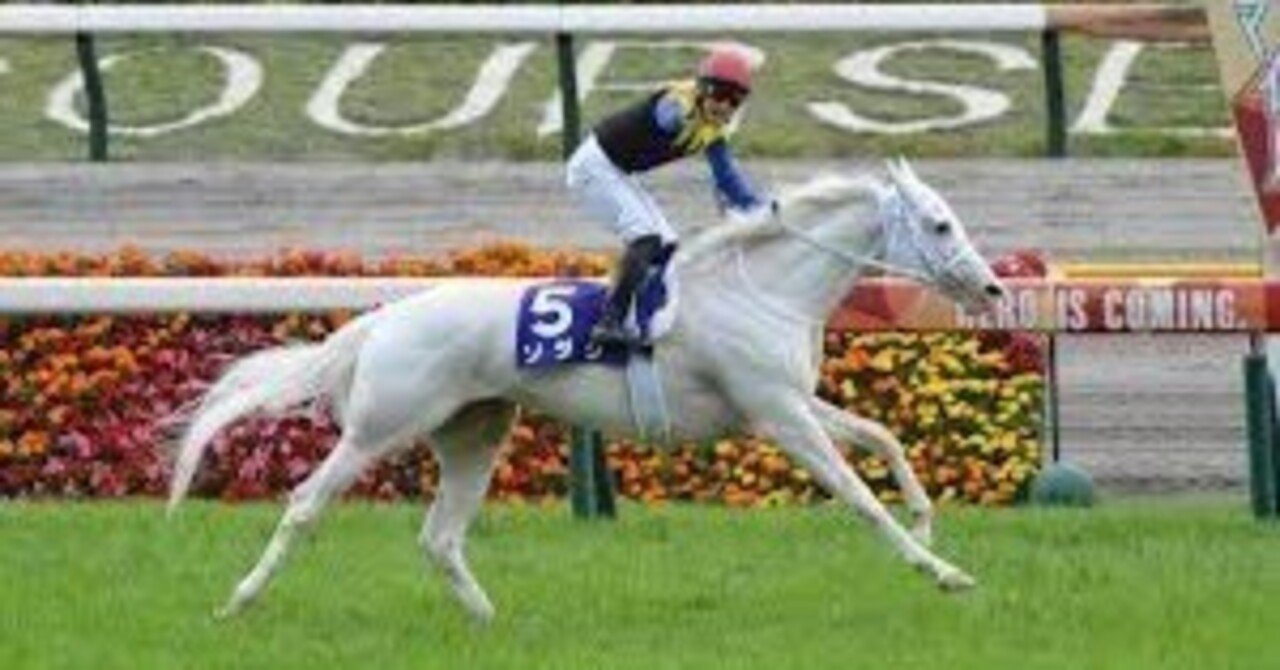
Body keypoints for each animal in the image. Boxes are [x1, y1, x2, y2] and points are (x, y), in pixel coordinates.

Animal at [168, 158, 1008, 622]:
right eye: (939, 225)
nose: (993, 288)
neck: (761, 288)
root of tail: (381, 319)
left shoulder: (791, 400)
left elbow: (884, 437)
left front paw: (929, 522)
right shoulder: (777, 416)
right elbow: (858, 495)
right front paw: (943, 572)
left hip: (475, 432)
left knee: (440, 536)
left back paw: (491, 620)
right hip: (382, 427)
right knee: (306, 502)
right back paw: (240, 600)